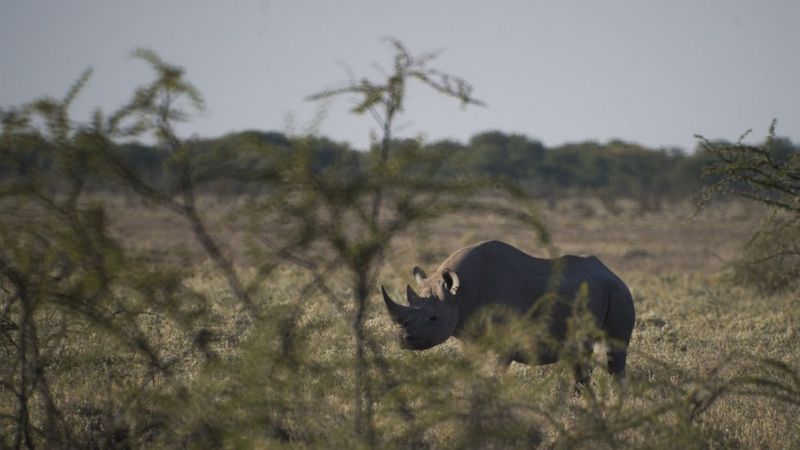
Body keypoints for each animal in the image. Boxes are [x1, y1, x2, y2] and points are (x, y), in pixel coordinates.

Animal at [382, 240, 635, 381]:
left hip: (620, 294)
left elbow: (495, 372)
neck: (460, 294)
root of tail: (613, 274)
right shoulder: (471, 336)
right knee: (579, 359)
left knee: (615, 354)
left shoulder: (504, 342)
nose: (404, 339)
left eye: (433, 318)